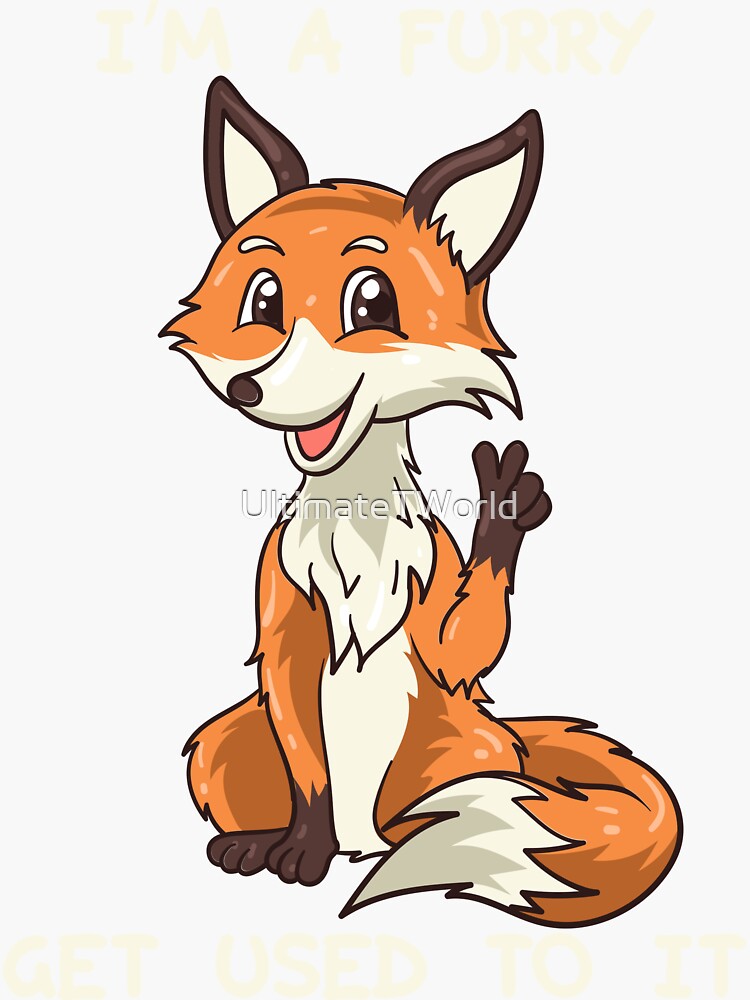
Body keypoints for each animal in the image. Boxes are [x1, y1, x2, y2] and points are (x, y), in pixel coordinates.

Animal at [161, 77, 682, 925]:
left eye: (371, 304)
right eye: (262, 301)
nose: (250, 387)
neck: (353, 519)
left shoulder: (432, 608)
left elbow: (461, 645)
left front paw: (501, 510)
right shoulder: (286, 632)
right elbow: (306, 761)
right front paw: (295, 852)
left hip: (468, 748)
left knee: (466, 802)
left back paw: (417, 839)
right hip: (219, 743)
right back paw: (266, 845)